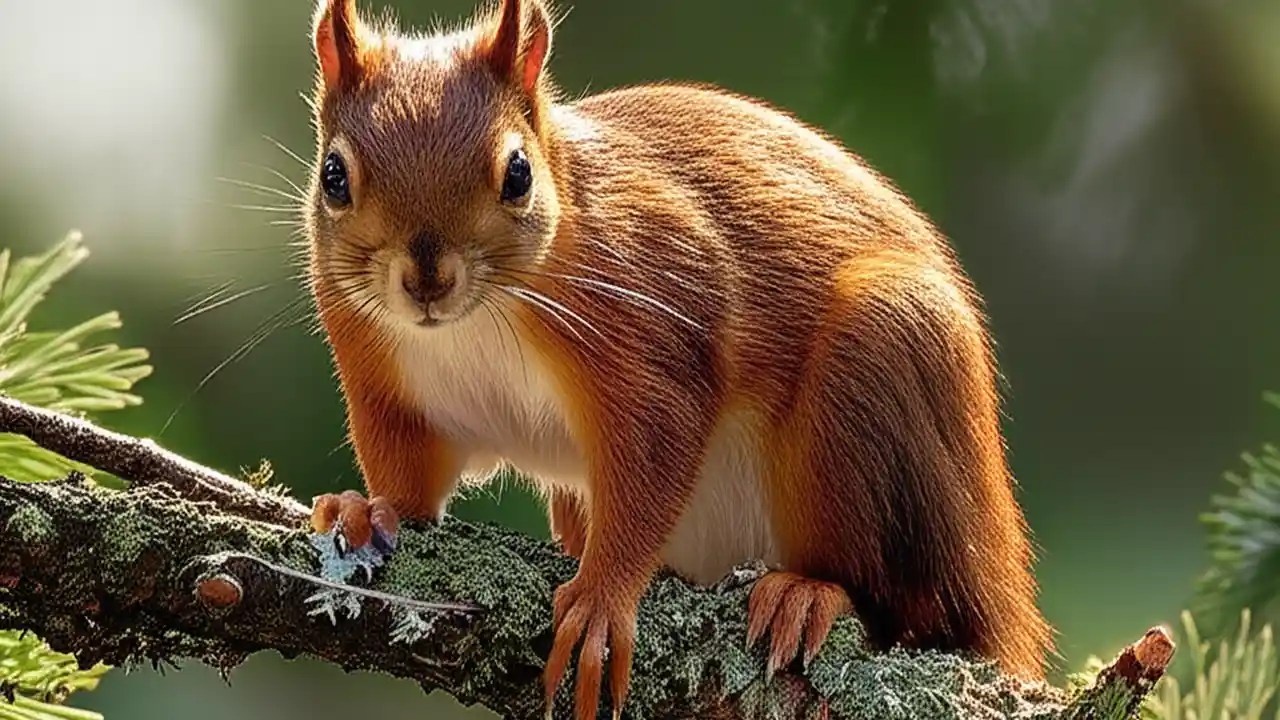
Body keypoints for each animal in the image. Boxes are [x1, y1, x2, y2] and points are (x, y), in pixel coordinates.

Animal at [303, 0, 1053, 717]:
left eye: (518, 173)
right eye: (333, 177)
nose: (427, 280)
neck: (474, 322)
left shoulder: (655, 321)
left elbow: (650, 467)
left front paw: (601, 599)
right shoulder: (383, 381)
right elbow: (412, 473)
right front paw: (369, 509)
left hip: (882, 360)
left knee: (910, 609)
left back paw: (811, 593)